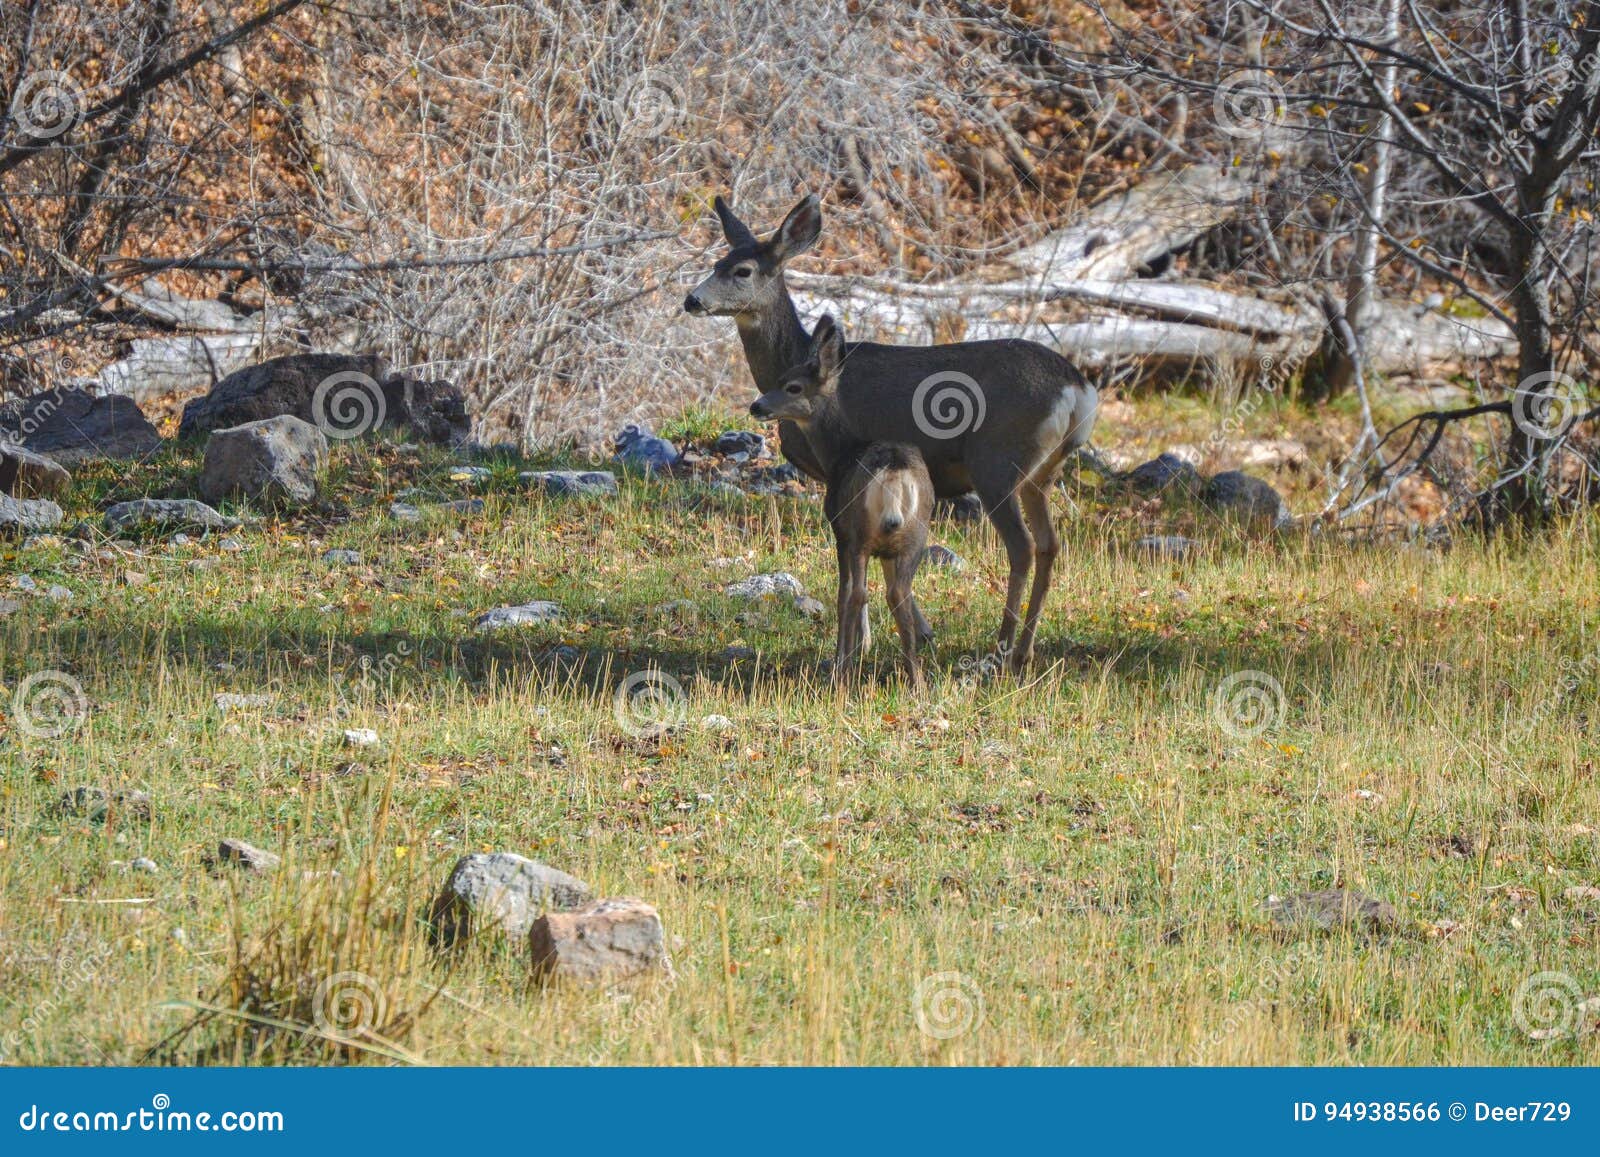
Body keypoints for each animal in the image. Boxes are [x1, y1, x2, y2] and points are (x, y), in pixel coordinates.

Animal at [750, 314, 933, 687]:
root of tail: (895, 469)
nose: (756, 405)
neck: (837, 453)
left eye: (792, 386)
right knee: (900, 595)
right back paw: (917, 681)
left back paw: (845, 673)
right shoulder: (886, 550)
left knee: (859, 593)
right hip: (916, 533)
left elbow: (843, 594)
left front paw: (841, 659)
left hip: (859, 530)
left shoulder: (840, 534)